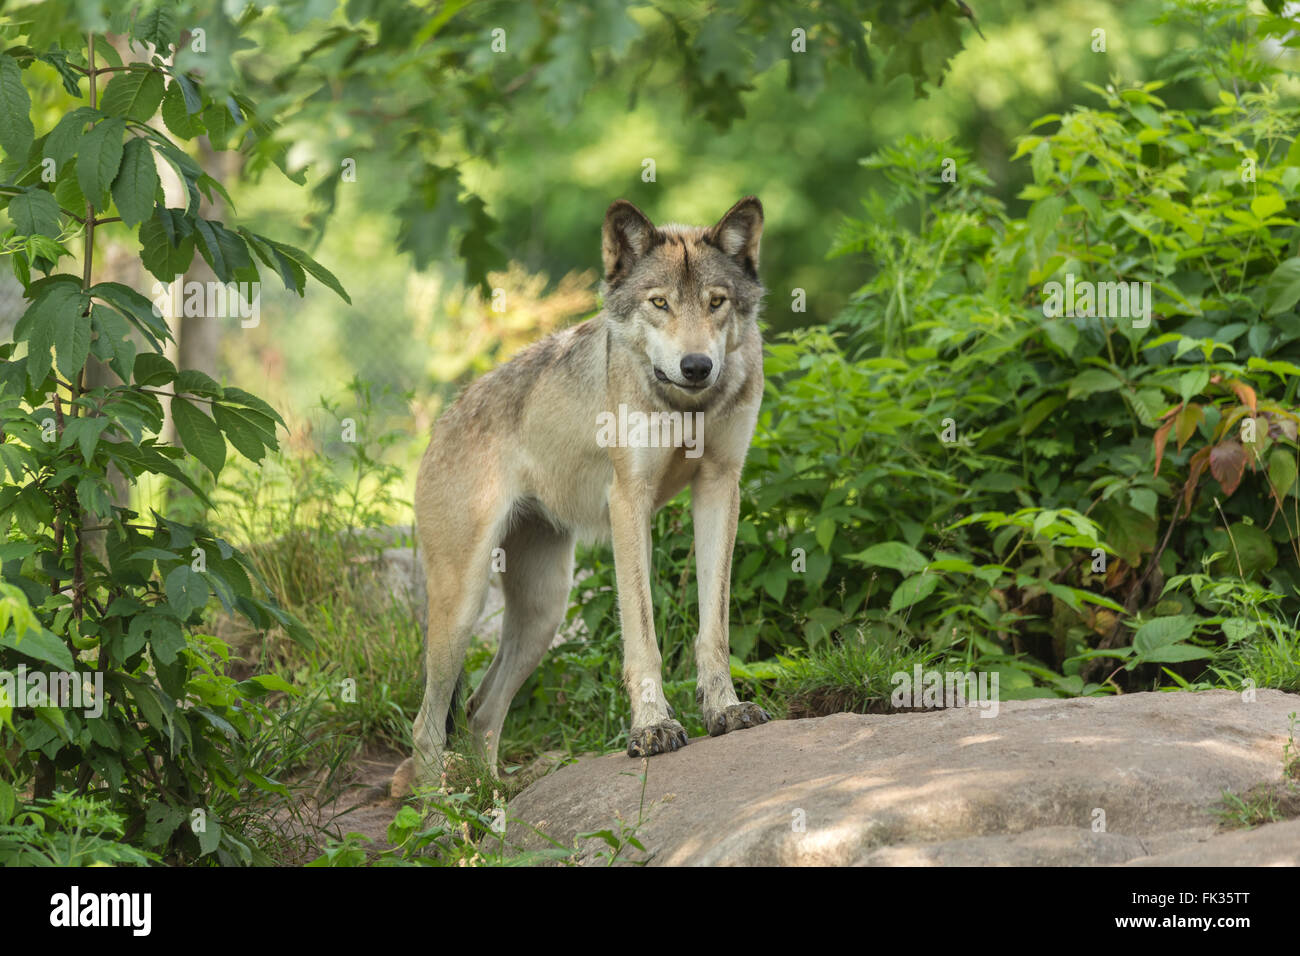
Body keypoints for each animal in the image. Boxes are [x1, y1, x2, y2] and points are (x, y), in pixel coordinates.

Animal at [398, 196, 771, 790]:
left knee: (480, 710)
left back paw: (494, 797)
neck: (686, 407)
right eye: (659, 303)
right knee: (427, 724)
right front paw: (652, 730)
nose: (697, 366)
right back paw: (442, 807)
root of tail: (443, 419)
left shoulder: (720, 486)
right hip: (463, 604)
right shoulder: (628, 501)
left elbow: (713, 627)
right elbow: (642, 637)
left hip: (544, 612)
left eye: (716, 302)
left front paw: (726, 711)